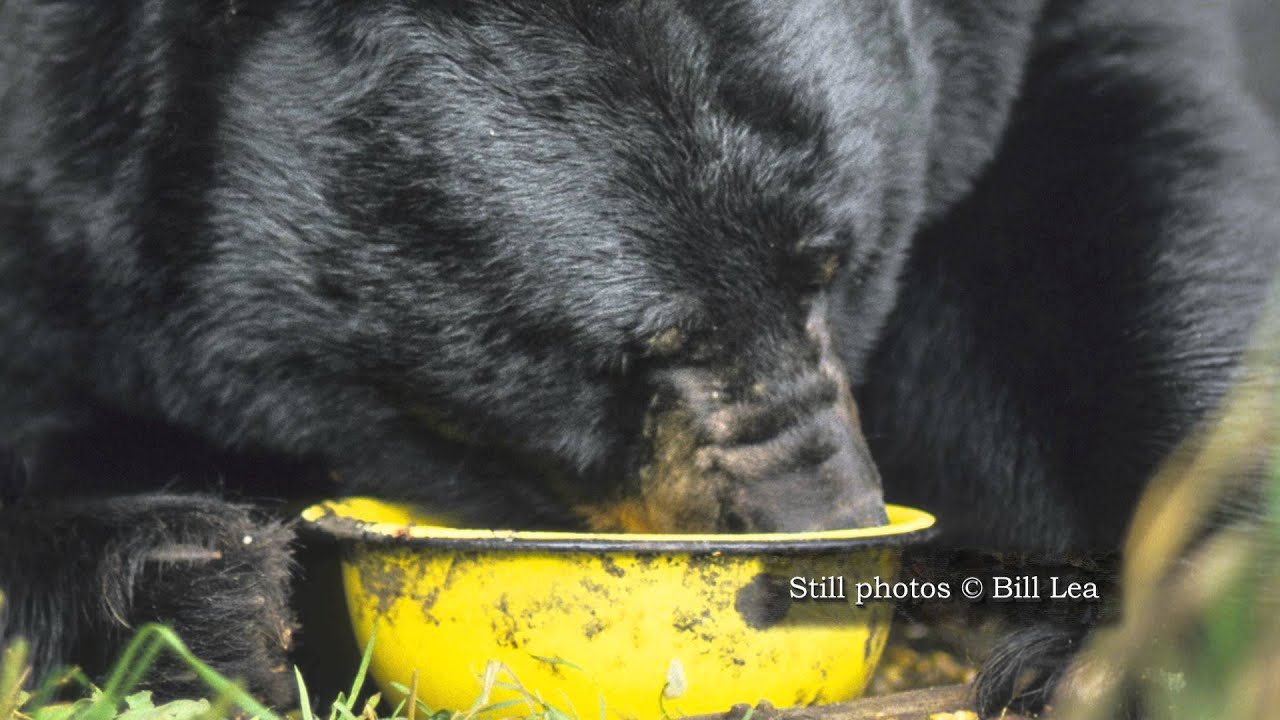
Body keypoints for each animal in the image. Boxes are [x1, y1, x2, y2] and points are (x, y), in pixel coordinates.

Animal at [1, 0, 1277, 715]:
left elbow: (1118, 200)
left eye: (833, 263)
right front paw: (197, 582)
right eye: (642, 347)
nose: (825, 525)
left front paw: (1154, 638)